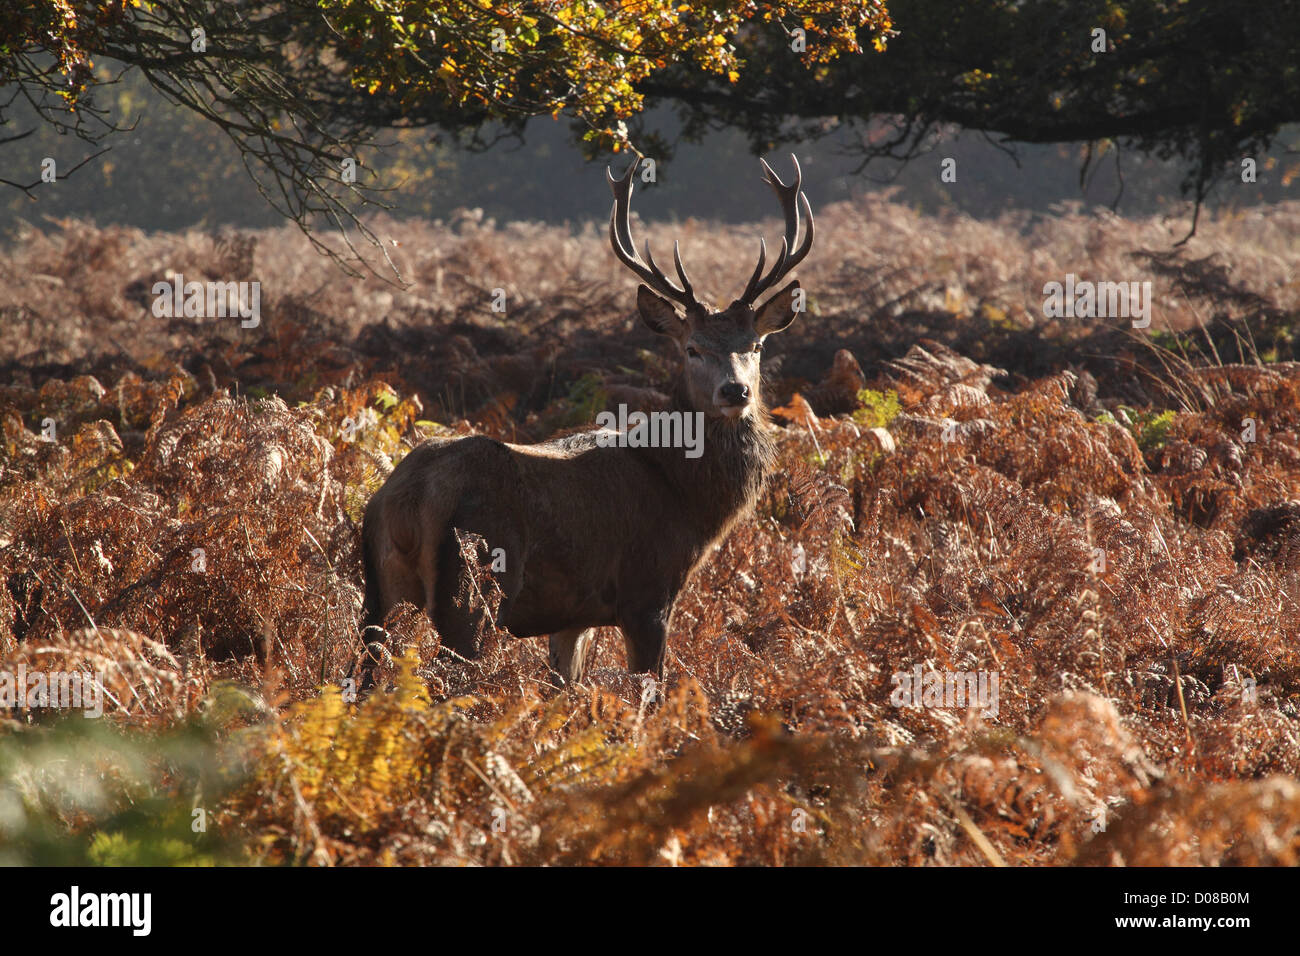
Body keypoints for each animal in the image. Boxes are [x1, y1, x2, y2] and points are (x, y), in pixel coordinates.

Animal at [358, 154, 814, 686]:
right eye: (692, 348)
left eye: (756, 346)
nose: (735, 391)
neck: (684, 497)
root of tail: (406, 498)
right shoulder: (647, 595)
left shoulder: (573, 616)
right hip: (473, 587)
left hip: (378, 593)